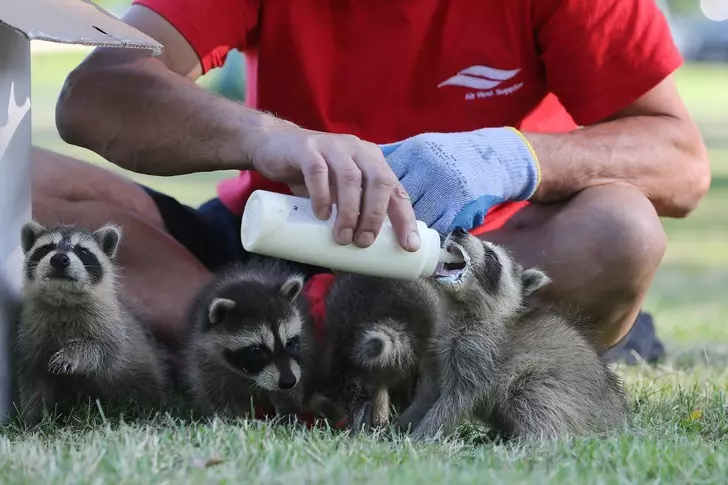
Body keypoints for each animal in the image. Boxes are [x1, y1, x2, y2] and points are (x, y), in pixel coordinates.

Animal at [15, 221, 169, 422]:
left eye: (82, 251)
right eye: (47, 248)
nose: (59, 259)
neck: (63, 298)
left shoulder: (110, 327)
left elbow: (101, 350)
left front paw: (73, 352)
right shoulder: (33, 334)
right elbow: (32, 380)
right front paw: (35, 420)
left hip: (141, 365)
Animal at [181, 258, 316, 420]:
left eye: (289, 342)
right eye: (257, 349)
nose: (288, 381)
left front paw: (288, 411)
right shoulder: (205, 358)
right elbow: (215, 394)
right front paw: (228, 420)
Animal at [400, 227, 628, 442]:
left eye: (492, 256)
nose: (459, 229)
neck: (458, 305)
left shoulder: (478, 354)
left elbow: (455, 402)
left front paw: (421, 435)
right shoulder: (436, 350)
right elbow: (427, 396)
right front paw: (402, 424)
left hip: (556, 387)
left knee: (536, 400)